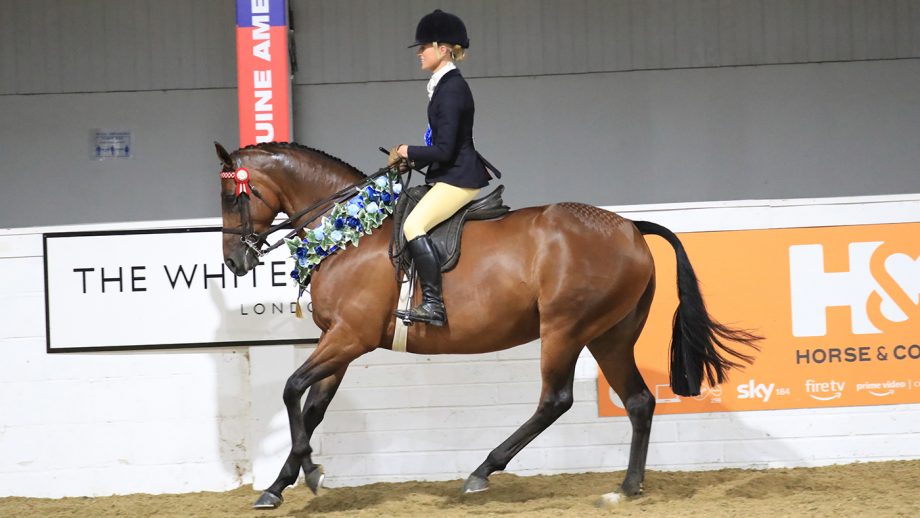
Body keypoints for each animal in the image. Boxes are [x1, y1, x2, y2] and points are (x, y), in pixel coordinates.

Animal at [214, 141, 760, 509]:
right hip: (611, 335)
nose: (236, 263)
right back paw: (626, 488)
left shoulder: (350, 337)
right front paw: (281, 485)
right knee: (639, 401)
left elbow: (291, 390)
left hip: (565, 329)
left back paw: (482, 471)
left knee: (555, 400)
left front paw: (308, 472)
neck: (344, 232)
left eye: (231, 196)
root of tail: (628, 226)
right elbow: (313, 406)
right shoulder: (341, 342)